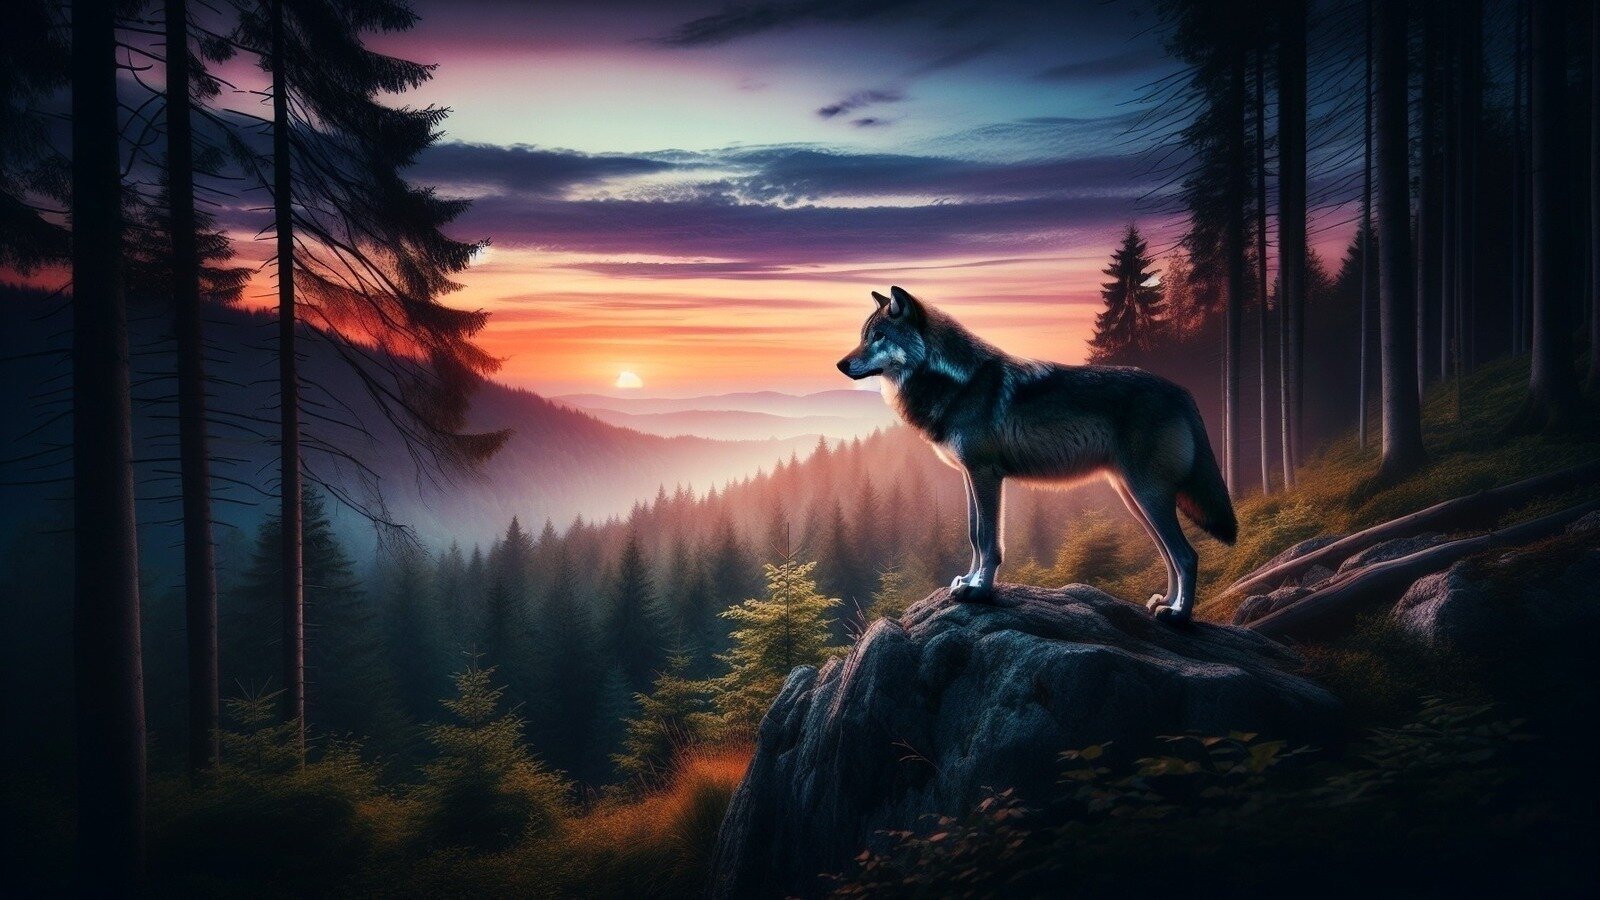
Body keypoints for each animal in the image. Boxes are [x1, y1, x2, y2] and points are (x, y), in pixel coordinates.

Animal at [836, 286, 1236, 623]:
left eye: (879, 337)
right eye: (863, 336)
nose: (841, 364)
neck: (957, 382)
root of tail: (1182, 391)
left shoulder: (986, 474)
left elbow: (988, 539)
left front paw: (980, 590)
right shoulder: (969, 475)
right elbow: (973, 534)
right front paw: (968, 580)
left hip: (1146, 496)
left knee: (1186, 555)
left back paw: (1179, 615)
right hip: (1135, 500)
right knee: (1170, 555)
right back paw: (1165, 603)